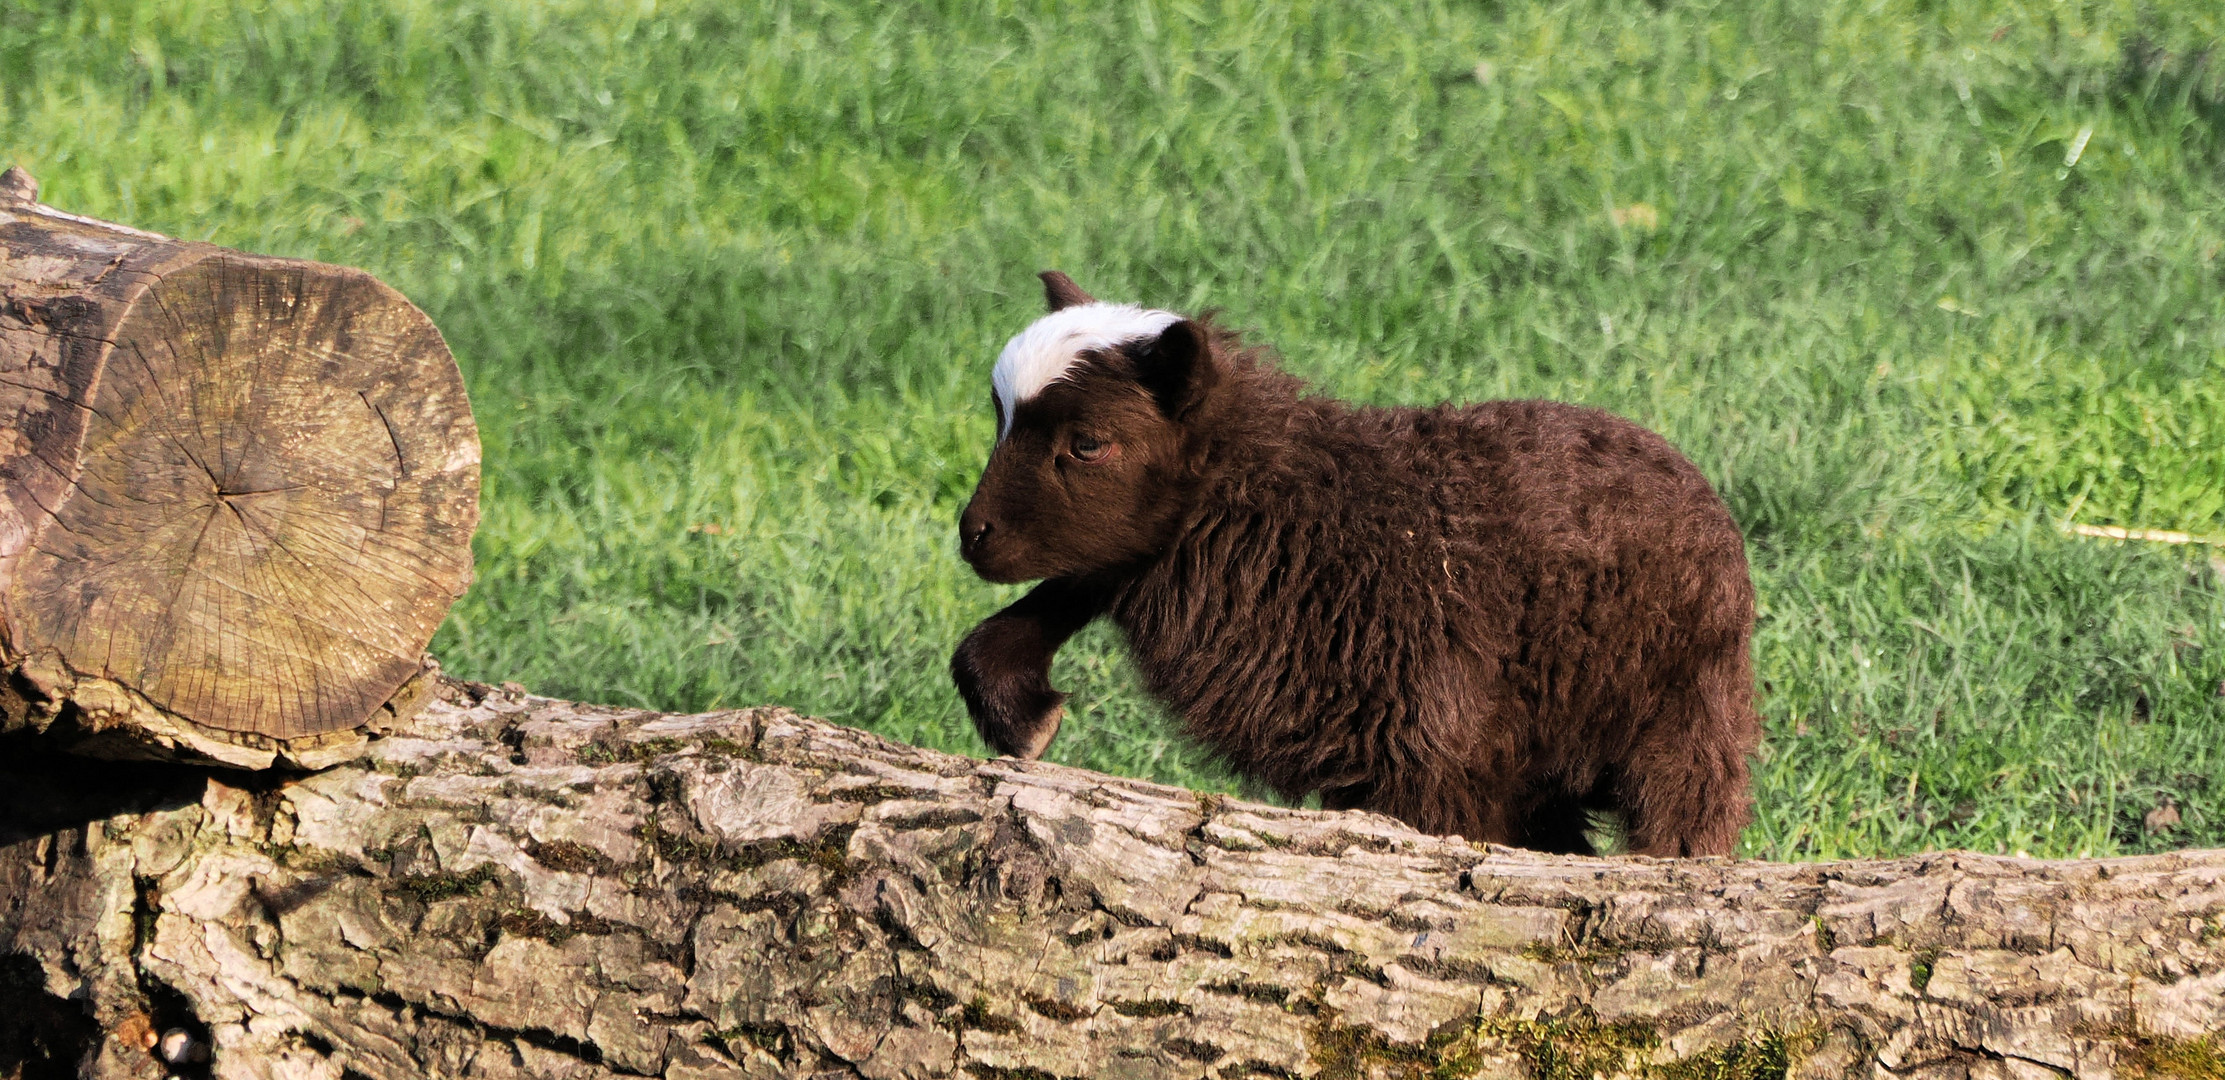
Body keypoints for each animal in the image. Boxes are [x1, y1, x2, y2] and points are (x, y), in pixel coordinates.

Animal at [947, 271, 1762, 859]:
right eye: (998, 419)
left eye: (1088, 443)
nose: (972, 536)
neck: (1306, 524)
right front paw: (1019, 716)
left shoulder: (1429, 760)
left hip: (1682, 715)